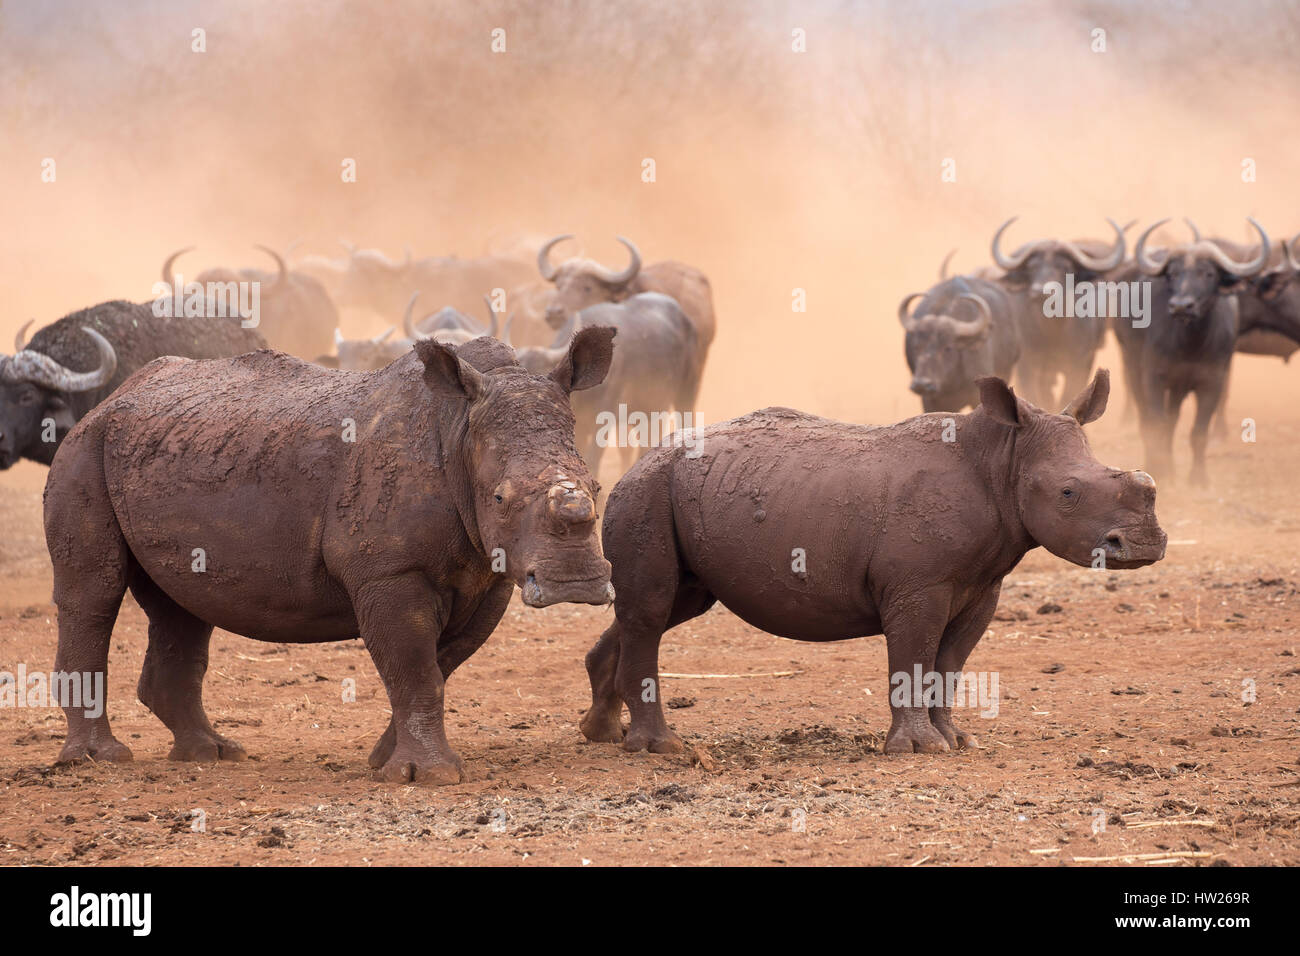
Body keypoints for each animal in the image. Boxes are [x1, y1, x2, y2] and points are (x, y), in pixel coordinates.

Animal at [44, 331, 617, 784]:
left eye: (597, 488)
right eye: (499, 498)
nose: (575, 584)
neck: (458, 429)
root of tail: (115, 396)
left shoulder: (488, 576)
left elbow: (438, 665)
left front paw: (385, 761)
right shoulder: (388, 572)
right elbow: (414, 667)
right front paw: (426, 776)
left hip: (159, 451)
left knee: (181, 607)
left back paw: (212, 755)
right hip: (83, 450)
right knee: (92, 593)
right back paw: (99, 760)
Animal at [579, 370, 1166, 757]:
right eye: (1068, 493)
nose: (1144, 546)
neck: (1002, 459)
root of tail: (639, 462)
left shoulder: (983, 586)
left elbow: (950, 662)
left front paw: (956, 740)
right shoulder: (917, 585)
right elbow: (914, 656)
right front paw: (918, 749)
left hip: (672, 494)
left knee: (665, 606)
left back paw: (603, 734)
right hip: (647, 492)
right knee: (653, 610)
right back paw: (663, 749)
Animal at [989, 218, 1127, 409]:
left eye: (1065, 267)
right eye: (1032, 267)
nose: (1040, 291)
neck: (1053, 332)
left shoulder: (1081, 363)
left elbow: (1068, 396)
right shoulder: (1026, 365)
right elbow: (1034, 395)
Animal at [1115, 217, 1271, 485]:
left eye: (1208, 274)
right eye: (1173, 274)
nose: (1181, 306)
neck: (1191, 344)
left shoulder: (1212, 382)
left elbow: (1198, 431)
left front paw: (1198, 479)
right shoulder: (1154, 377)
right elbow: (1156, 424)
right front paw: (1160, 470)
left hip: (1179, 387)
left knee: (1173, 420)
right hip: (1132, 364)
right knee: (1146, 418)